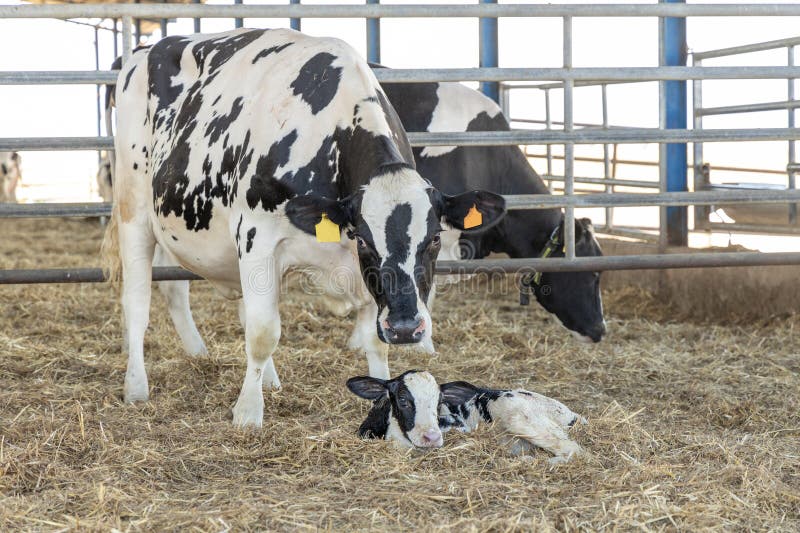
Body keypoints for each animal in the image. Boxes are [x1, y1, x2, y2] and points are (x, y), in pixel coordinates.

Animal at [104, 29, 505, 428]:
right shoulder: (258, 238)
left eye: (434, 238)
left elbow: (373, 339)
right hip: (134, 209)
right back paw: (136, 386)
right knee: (137, 303)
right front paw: (248, 412)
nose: (406, 328)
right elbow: (263, 332)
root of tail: (145, 50)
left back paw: (255, 374)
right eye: (365, 239)